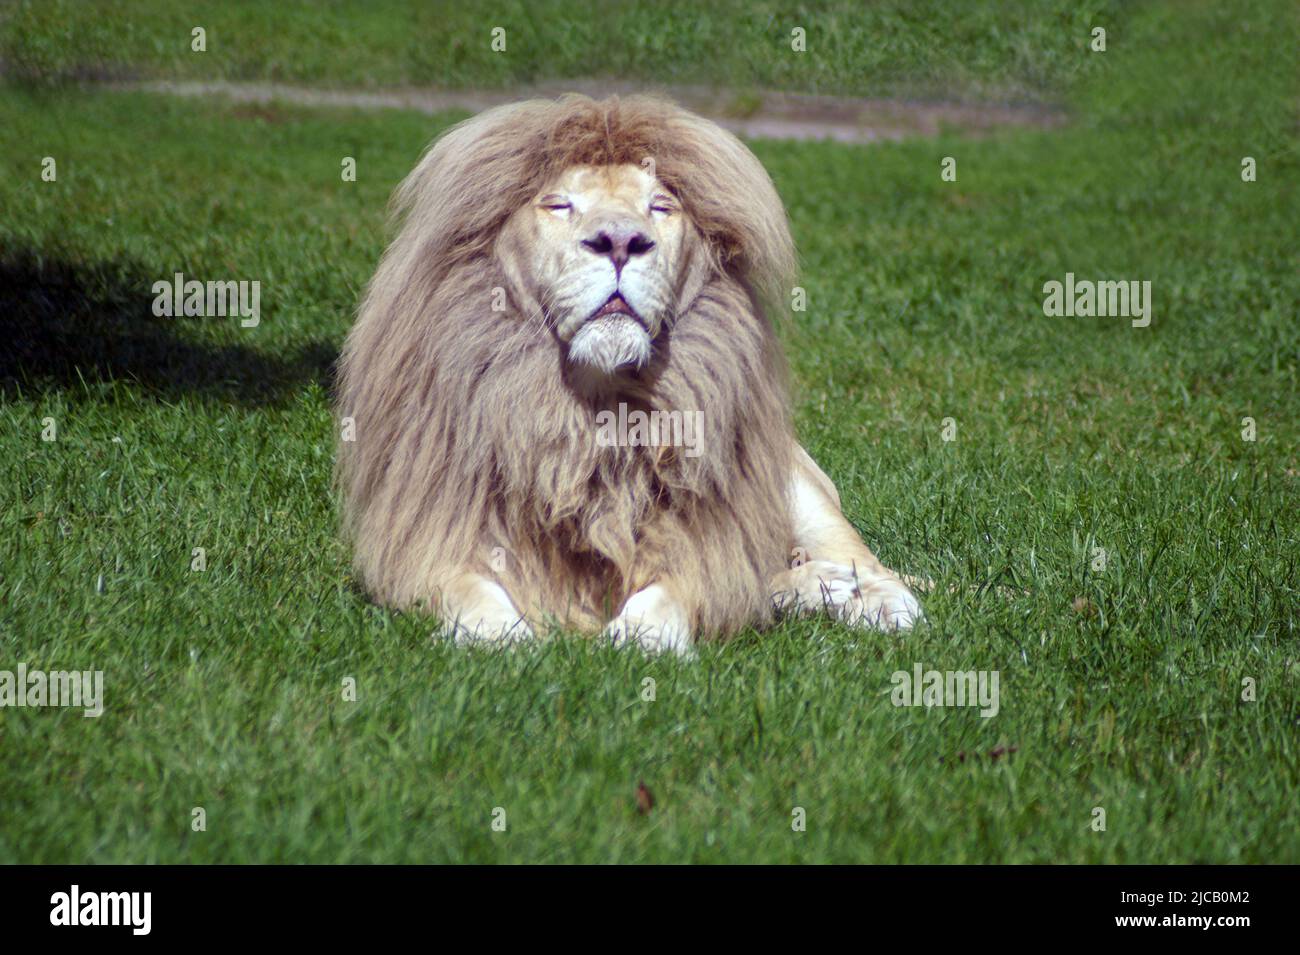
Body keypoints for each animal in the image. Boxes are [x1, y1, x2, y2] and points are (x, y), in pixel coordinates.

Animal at [335, 94, 921, 654]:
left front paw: (643, 637)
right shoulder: (429, 536)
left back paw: (875, 600)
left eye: (659, 207)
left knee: (863, 562)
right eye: (559, 204)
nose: (620, 242)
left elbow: (675, 589)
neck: (596, 406)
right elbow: (469, 588)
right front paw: (499, 637)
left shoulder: (696, 540)